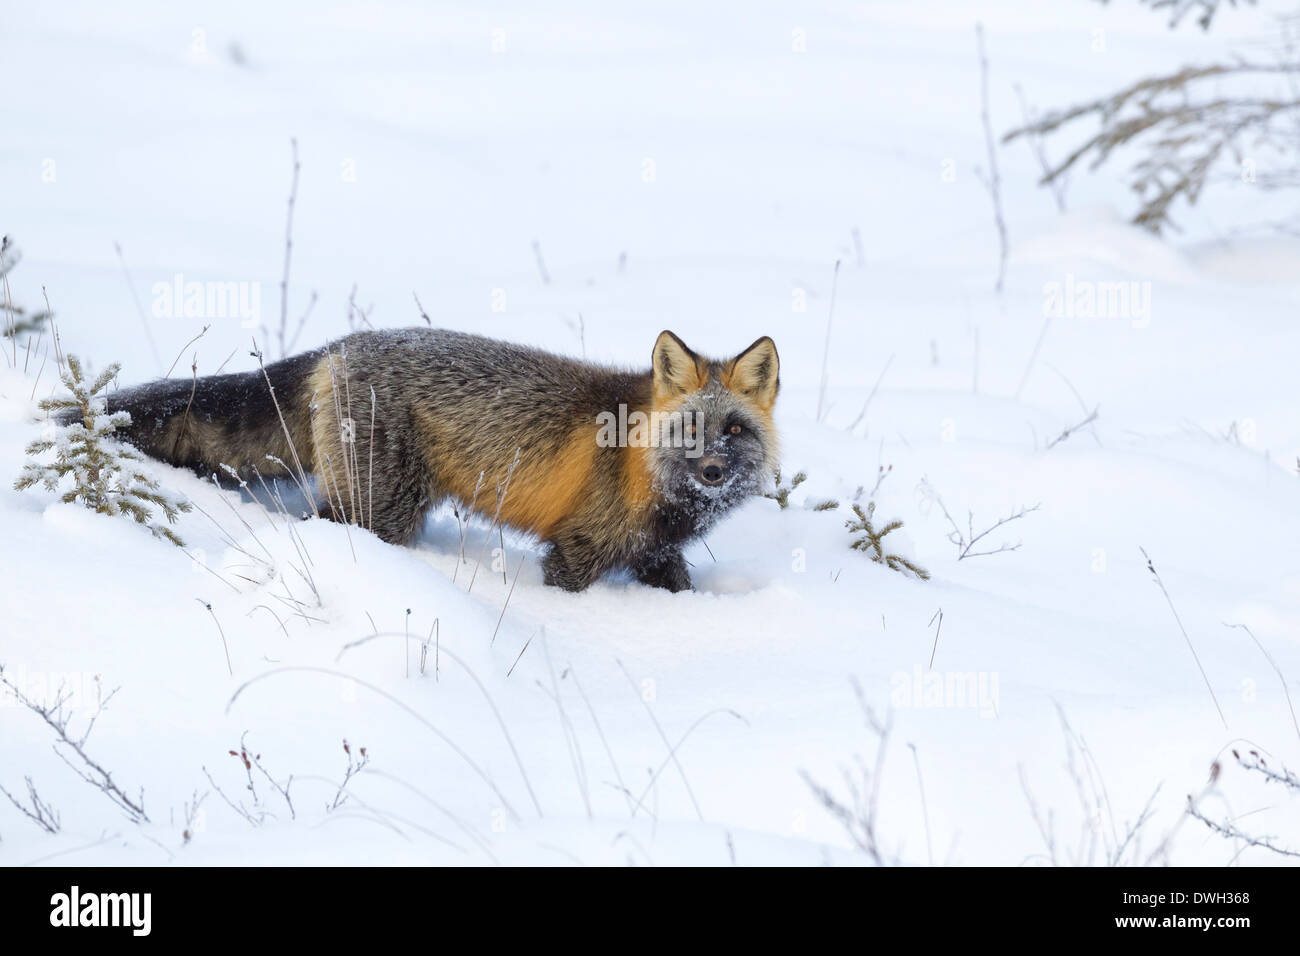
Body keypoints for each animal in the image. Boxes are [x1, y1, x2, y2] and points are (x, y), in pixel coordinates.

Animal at [86, 328, 780, 592]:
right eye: (691, 429)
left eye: (733, 430)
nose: (714, 472)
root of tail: (340, 345)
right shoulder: (576, 550)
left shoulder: (657, 555)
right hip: (384, 508)